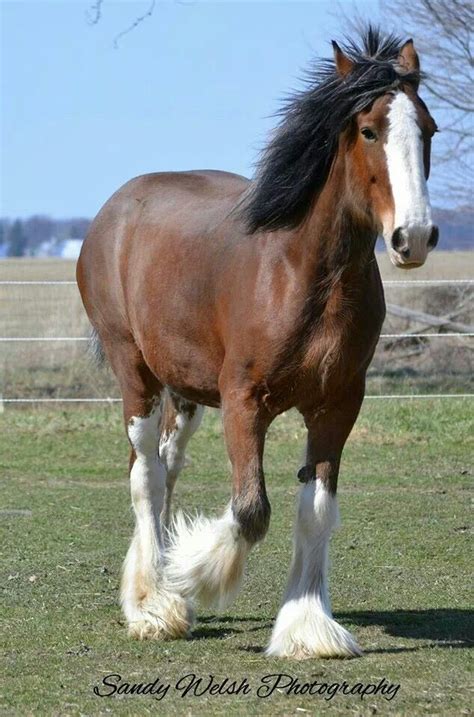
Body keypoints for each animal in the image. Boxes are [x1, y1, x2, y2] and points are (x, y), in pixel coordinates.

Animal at [77, 27, 438, 659]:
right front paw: (193, 575)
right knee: (146, 475)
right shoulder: (245, 401)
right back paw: (152, 604)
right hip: (135, 373)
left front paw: (307, 626)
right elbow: (251, 511)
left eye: (430, 130)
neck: (301, 274)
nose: (412, 237)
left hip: (186, 390)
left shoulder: (337, 404)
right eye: (369, 130)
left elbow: (315, 512)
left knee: (166, 465)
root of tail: (113, 211)